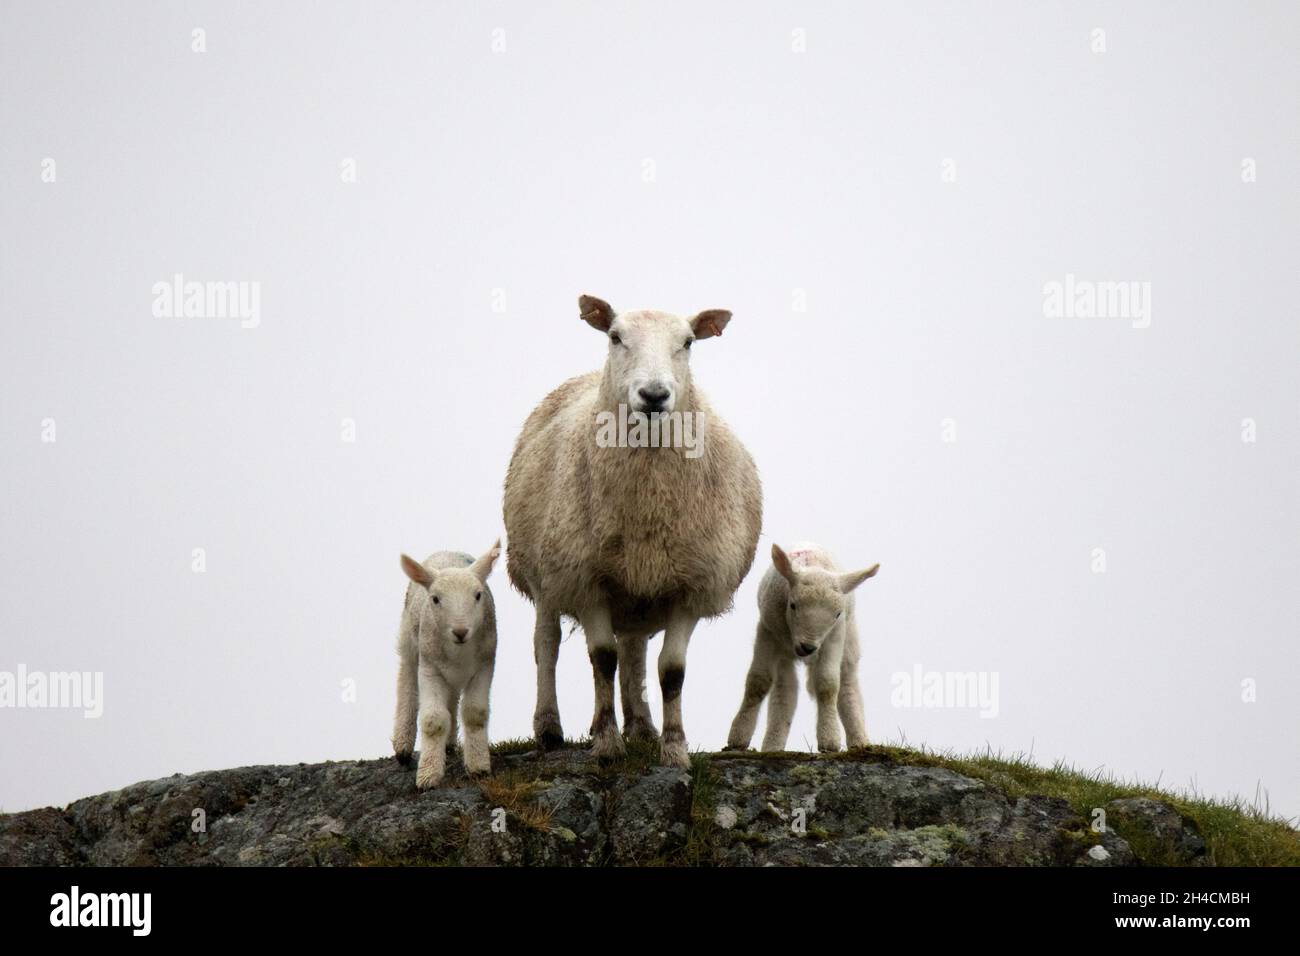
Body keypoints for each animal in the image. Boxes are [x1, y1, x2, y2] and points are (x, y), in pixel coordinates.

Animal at [391, 542, 501, 789]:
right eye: (435, 599)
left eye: (478, 595)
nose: (460, 631)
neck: (459, 652)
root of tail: (446, 551)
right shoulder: (429, 668)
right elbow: (433, 720)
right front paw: (428, 775)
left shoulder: (484, 665)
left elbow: (474, 713)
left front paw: (478, 766)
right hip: (410, 643)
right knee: (406, 682)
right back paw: (402, 746)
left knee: (452, 700)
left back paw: (449, 745)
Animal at [503, 294, 762, 768]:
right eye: (615, 337)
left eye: (688, 341)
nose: (654, 395)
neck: (648, 498)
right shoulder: (587, 580)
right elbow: (601, 659)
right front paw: (607, 744)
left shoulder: (688, 585)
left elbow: (671, 671)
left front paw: (674, 748)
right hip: (546, 573)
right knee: (547, 643)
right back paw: (549, 727)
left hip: (636, 582)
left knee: (634, 649)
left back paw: (641, 725)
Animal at [726, 542, 879, 753]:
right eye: (793, 605)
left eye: (837, 614)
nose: (807, 648)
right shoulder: (767, 630)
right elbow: (758, 681)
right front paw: (738, 737)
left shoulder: (834, 636)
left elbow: (828, 684)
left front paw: (829, 740)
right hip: (782, 651)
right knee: (785, 689)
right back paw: (773, 745)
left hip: (849, 640)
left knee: (848, 683)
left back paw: (860, 742)